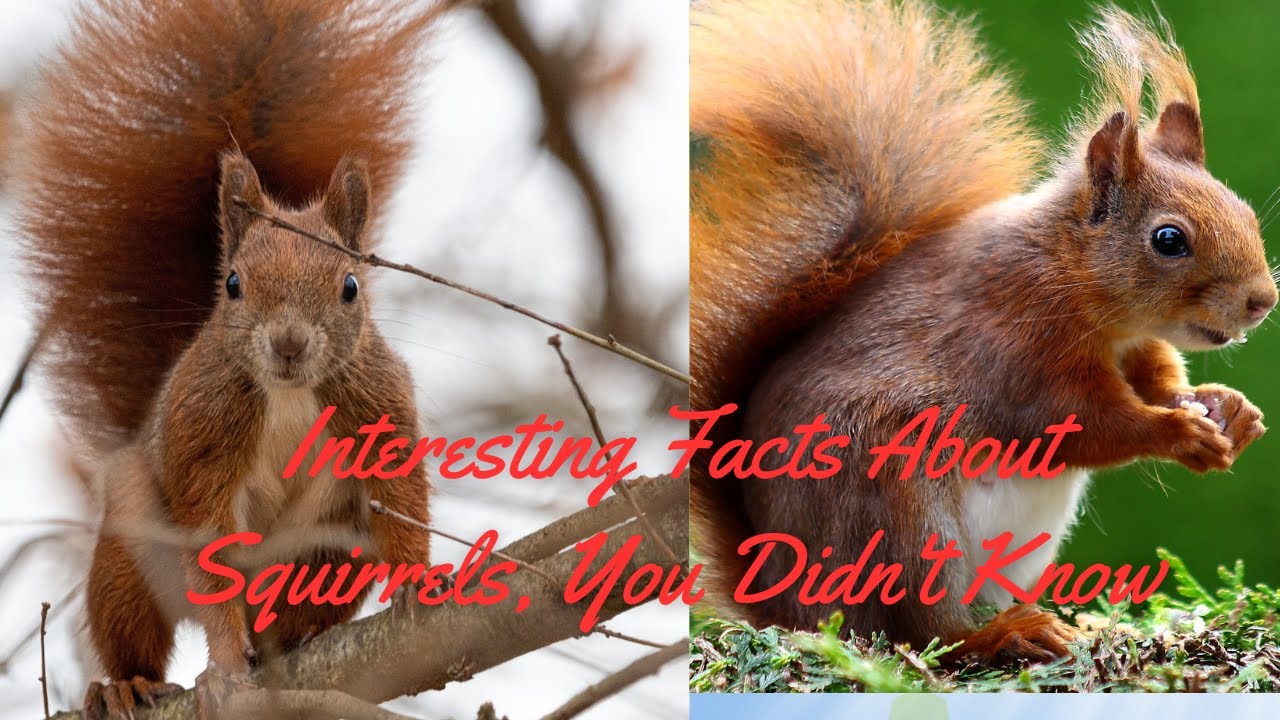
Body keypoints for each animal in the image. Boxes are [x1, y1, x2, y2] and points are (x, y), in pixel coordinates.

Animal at [15, 0, 439, 716]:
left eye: (350, 286)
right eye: (234, 283)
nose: (289, 343)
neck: (288, 391)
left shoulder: (377, 404)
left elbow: (401, 492)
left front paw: (415, 583)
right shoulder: (203, 440)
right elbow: (209, 541)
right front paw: (222, 668)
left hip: (331, 551)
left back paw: (293, 640)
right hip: (131, 543)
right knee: (136, 621)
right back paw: (129, 683)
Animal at [690, 0, 1277, 661]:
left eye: (1244, 210)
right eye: (1169, 238)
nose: (1262, 300)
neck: (1081, 287)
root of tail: (785, 604)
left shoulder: (1134, 348)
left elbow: (1157, 381)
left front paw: (1228, 409)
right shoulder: (1014, 347)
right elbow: (1080, 423)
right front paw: (1179, 433)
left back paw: (1083, 626)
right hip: (893, 511)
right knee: (924, 633)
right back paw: (1003, 634)